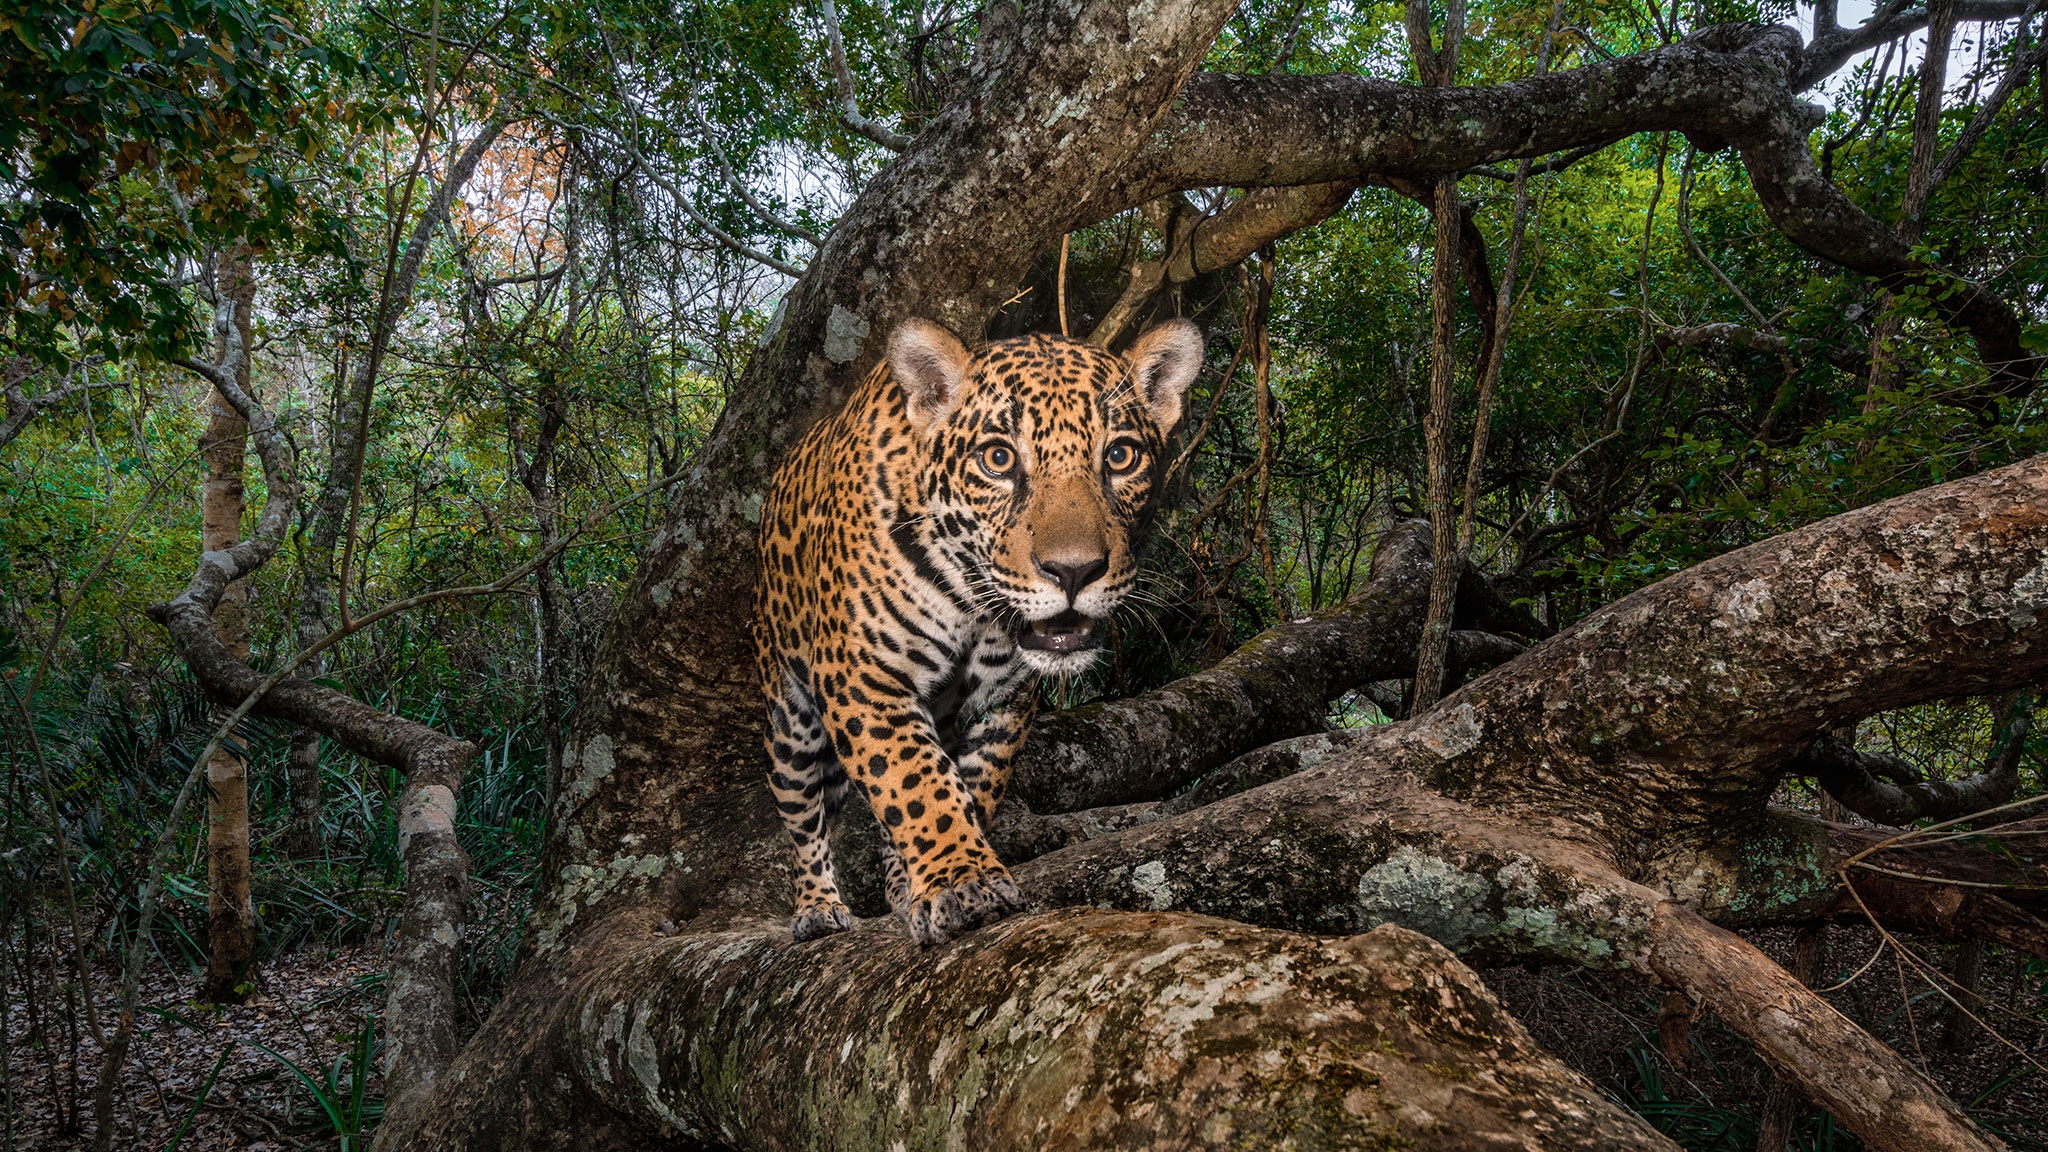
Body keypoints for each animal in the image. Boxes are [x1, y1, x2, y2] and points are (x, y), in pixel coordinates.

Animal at [753, 316, 1203, 945]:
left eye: (1120, 456)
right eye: (997, 459)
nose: (1074, 571)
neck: (972, 603)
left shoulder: (1003, 698)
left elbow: (970, 785)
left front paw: (939, 875)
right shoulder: (864, 680)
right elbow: (914, 781)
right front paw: (961, 883)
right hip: (790, 721)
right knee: (802, 816)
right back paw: (818, 908)